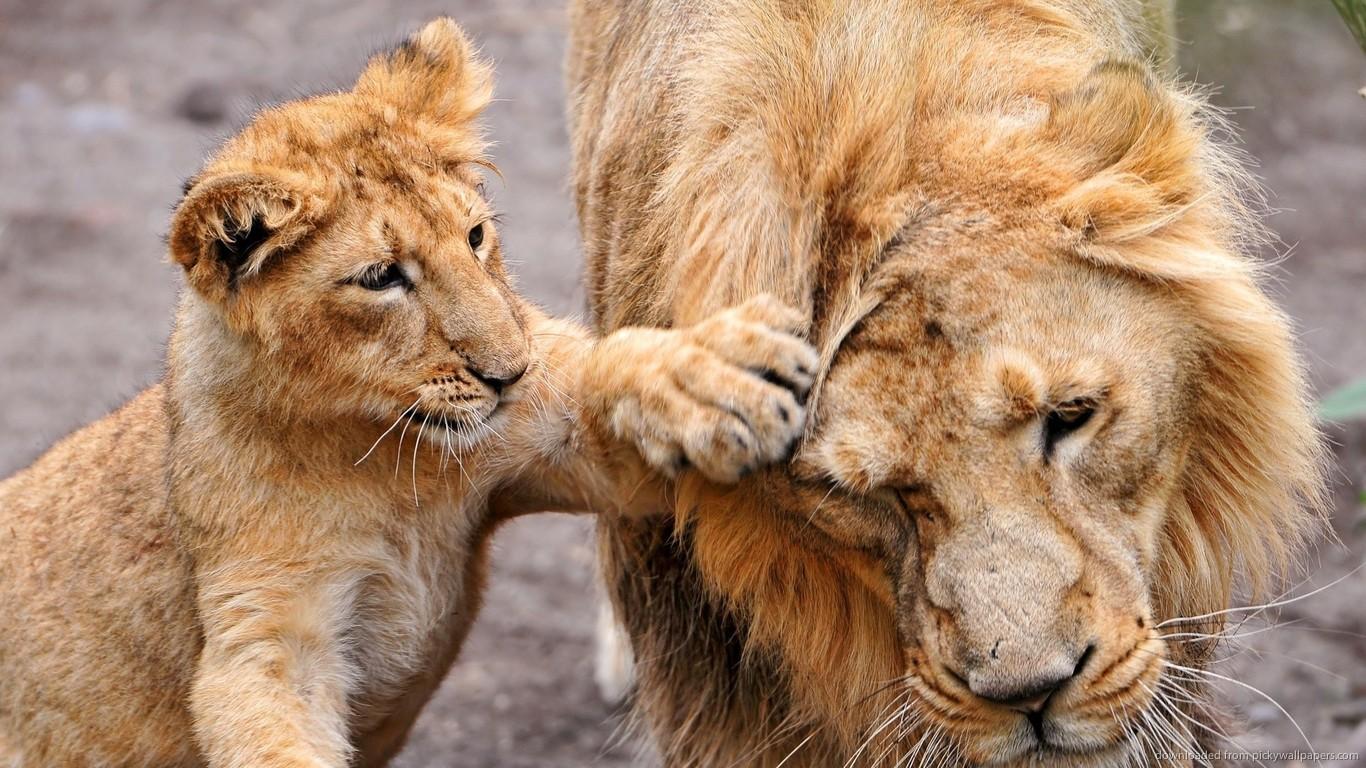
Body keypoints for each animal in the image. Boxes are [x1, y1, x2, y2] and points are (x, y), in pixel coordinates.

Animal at [0, 19, 819, 768]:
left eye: (476, 236)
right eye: (380, 277)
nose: (510, 373)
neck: (379, 460)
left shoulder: (540, 451)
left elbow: (604, 377)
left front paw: (714, 373)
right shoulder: (261, 633)